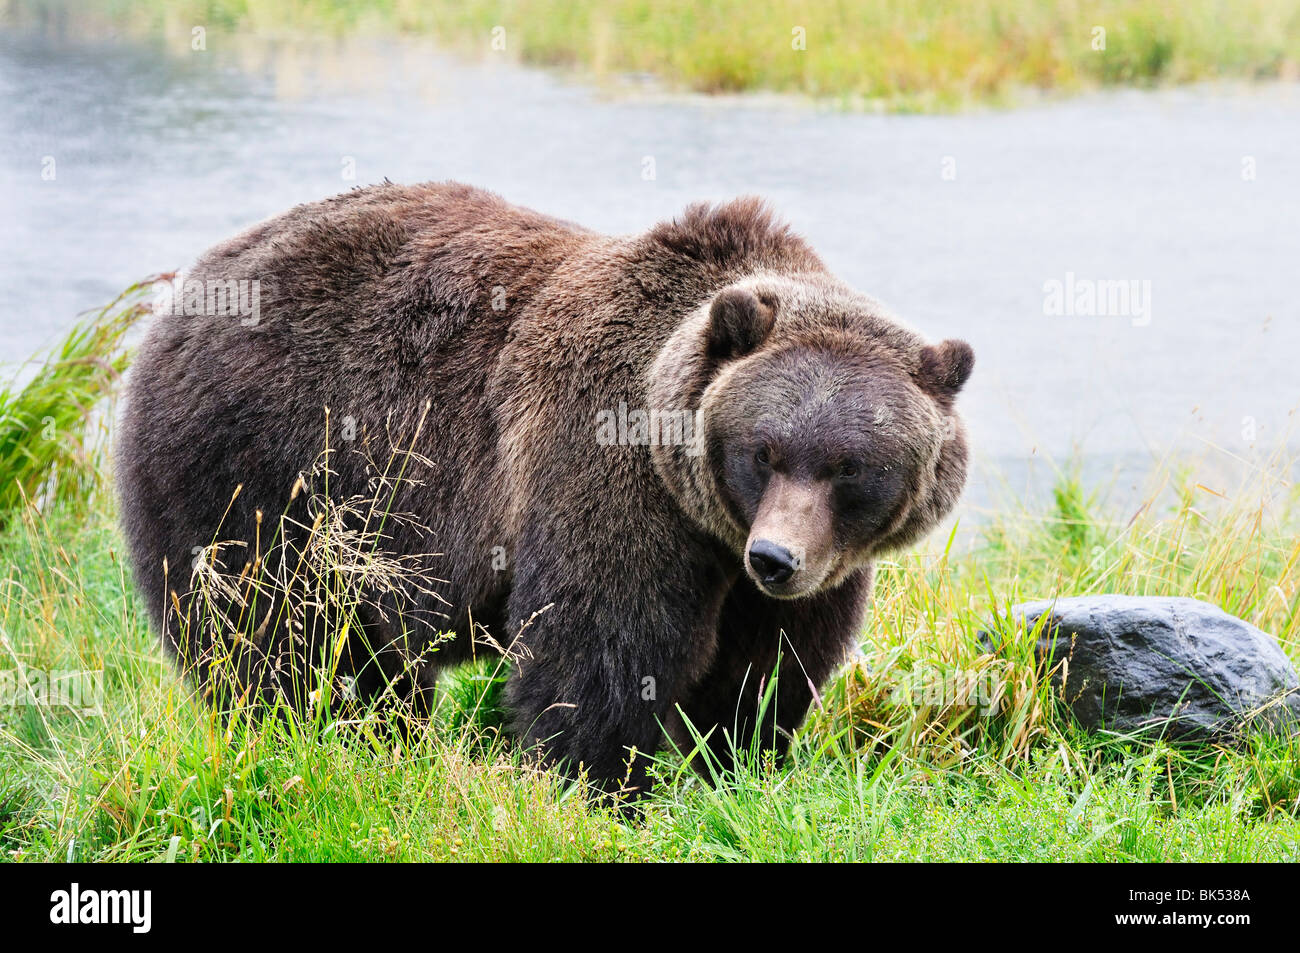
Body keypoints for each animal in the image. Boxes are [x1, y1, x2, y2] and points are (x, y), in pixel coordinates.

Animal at [116, 181, 973, 800]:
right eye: (763, 450)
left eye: (851, 467)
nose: (776, 557)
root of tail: (186, 289)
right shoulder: (606, 471)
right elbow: (600, 650)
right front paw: (603, 787)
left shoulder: (810, 567)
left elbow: (767, 672)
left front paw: (737, 767)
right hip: (262, 463)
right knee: (268, 630)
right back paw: (307, 733)